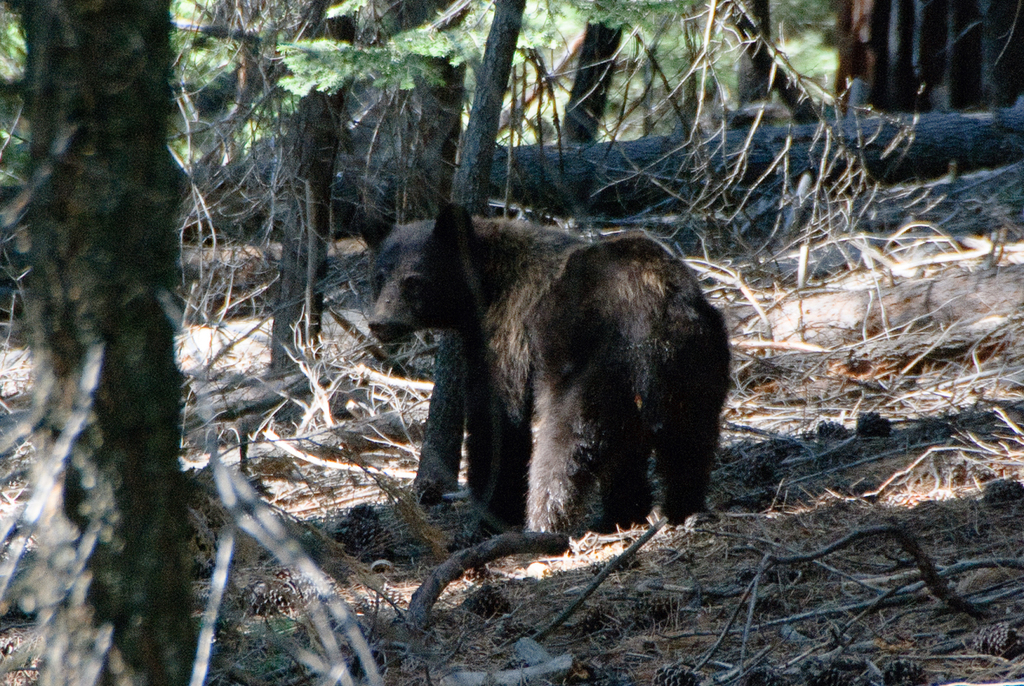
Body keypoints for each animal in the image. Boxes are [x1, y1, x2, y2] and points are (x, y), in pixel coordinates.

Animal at [362, 204, 730, 533]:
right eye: (379, 277)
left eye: (413, 280)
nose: (380, 323)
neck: (486, 284)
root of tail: (655, 309)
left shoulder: (507, 332)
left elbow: (498, 420)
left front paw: (489, 517)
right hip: (695, 366)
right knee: (687, 444)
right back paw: (669, 510)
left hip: (590, 367)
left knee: (565, 444)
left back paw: (544, 524)